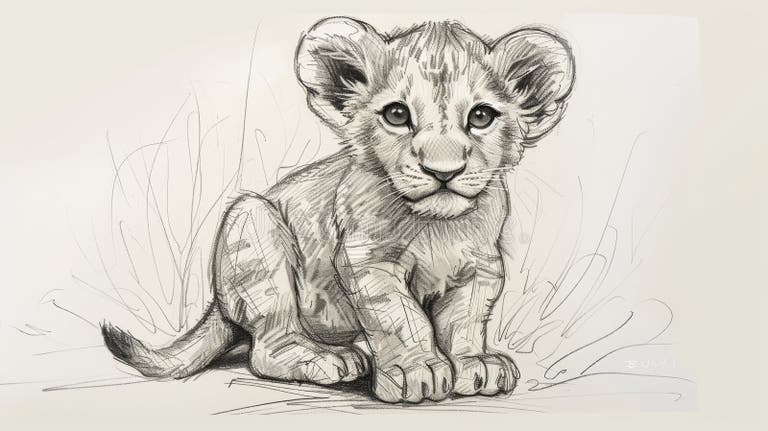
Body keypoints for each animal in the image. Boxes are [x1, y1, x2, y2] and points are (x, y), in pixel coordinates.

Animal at [101, 16, 575, 403]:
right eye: (397, 114)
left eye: (481, 116)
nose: (443, 171)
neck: (436, 225)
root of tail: (217, 304)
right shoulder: (367, 261)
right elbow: (400, 316)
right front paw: (415, 371)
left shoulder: (481, 267)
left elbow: (466, 319)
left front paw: (475, 364)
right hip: (252, 224)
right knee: (268, 346)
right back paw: (330, 359)